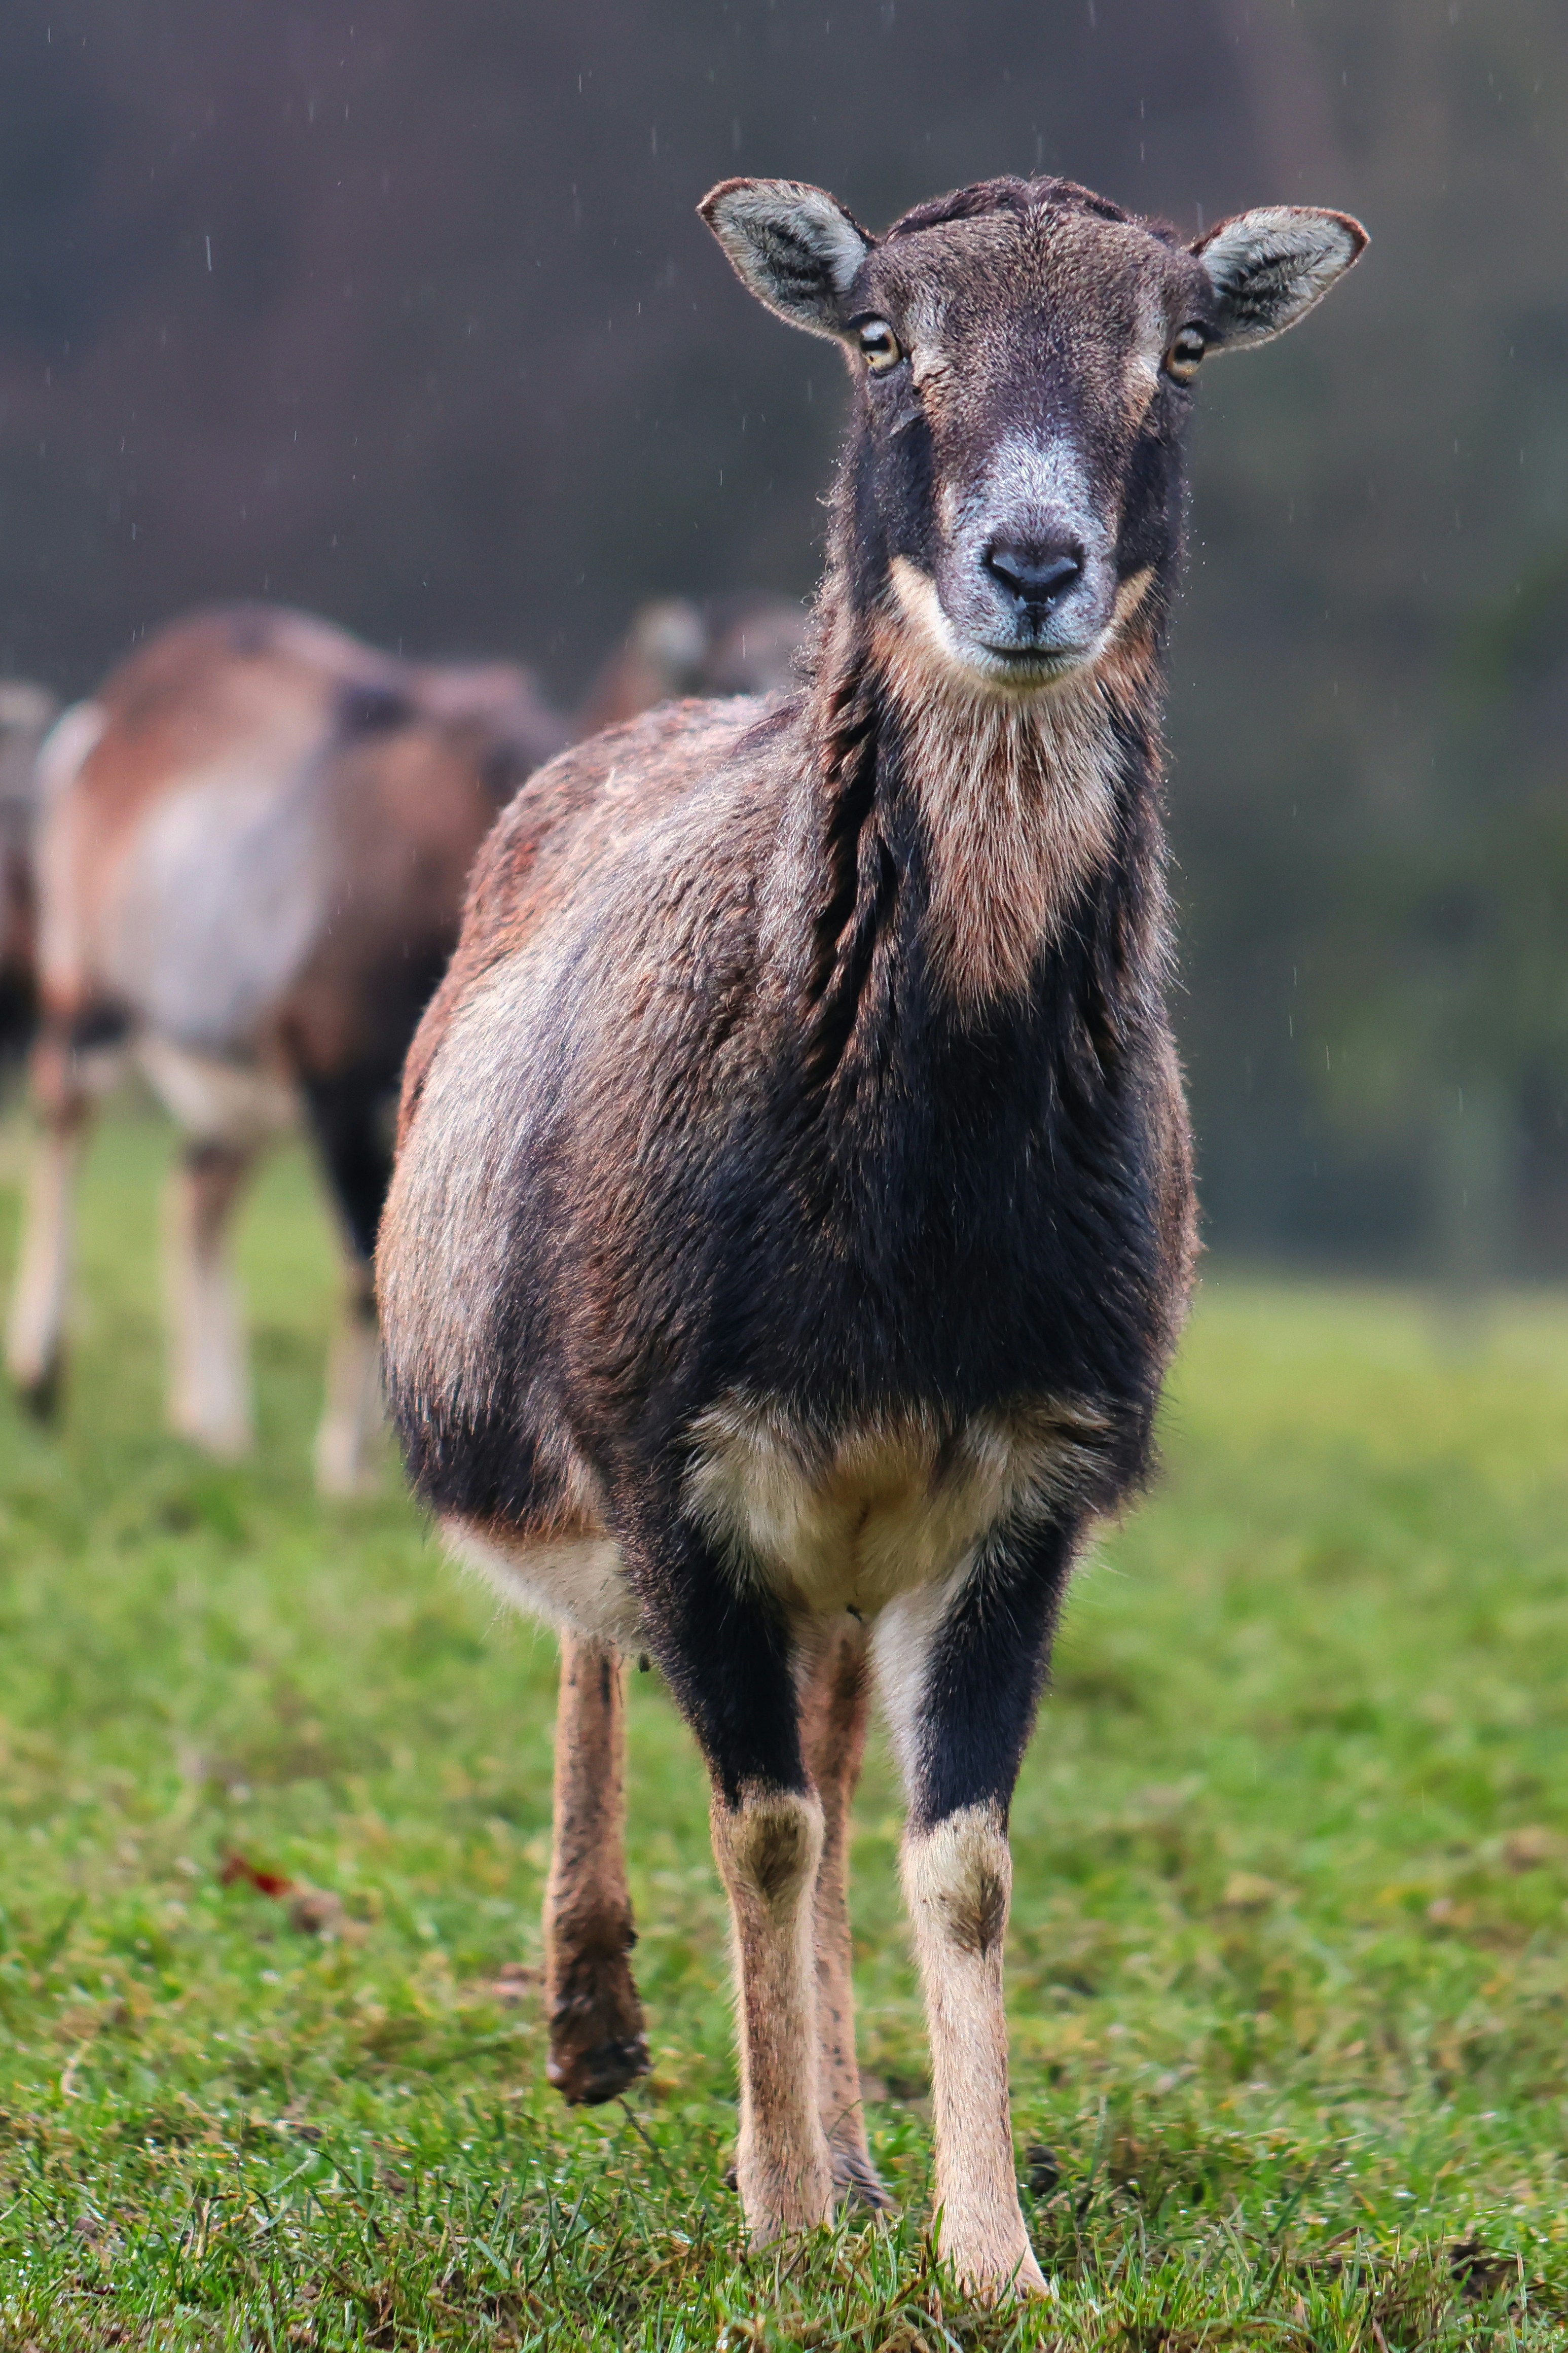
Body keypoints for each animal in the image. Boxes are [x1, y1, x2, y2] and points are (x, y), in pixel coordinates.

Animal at [6, 604, 565, 1489]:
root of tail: (101, 727)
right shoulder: (338, 1085)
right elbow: (363, 1273)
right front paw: (346, 1472)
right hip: (86, 1005)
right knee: (65, 1129)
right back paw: (41, 1378)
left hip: (243, 1091)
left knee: (197, 1192)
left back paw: (218, 1429)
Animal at [378, 175, 1364, 2296]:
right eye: (883, 341)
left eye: (1176, 350)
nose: (1031, 564)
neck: (912, 1205)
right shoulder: (675, 1461)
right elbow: (751, 1824)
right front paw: (765, 2206)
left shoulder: (1019, 1480)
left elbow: (953, 1857)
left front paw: (979, 2245)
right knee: (623, 1681)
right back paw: (599, 2027)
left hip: (844, 1547)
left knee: (839, 1779)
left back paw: (842, 2145)